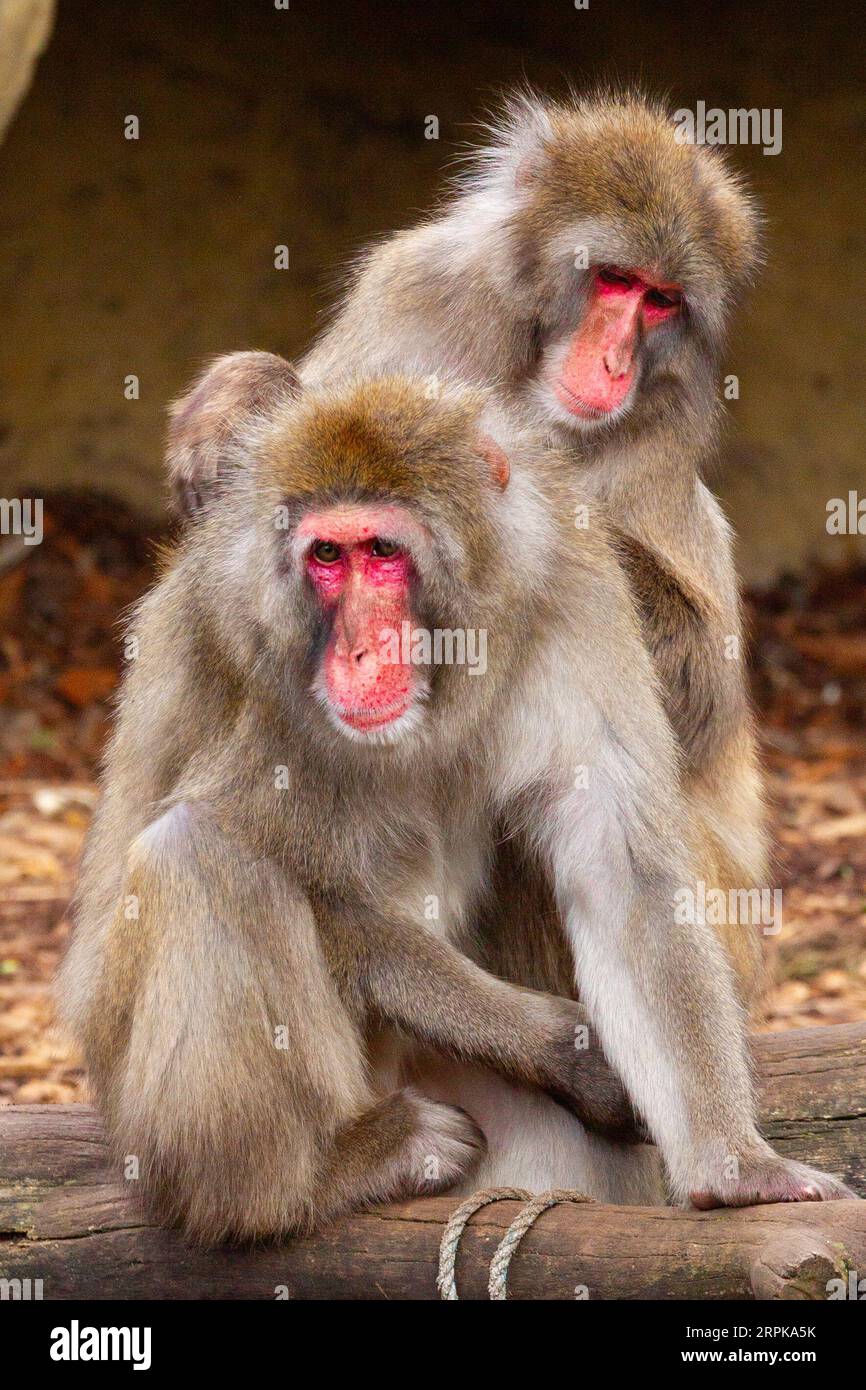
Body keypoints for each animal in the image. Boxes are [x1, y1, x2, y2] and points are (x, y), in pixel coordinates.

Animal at [61, 355, 852, 1245]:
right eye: (327, 555)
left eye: (383, 551)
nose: (358, 650)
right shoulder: (264, 664)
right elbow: (295, 870)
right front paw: (565, 1047)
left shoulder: (574, 599)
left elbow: (624, 881)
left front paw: (737, 1167)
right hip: (138, 1102)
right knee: (197, 853)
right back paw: (307, 1176)